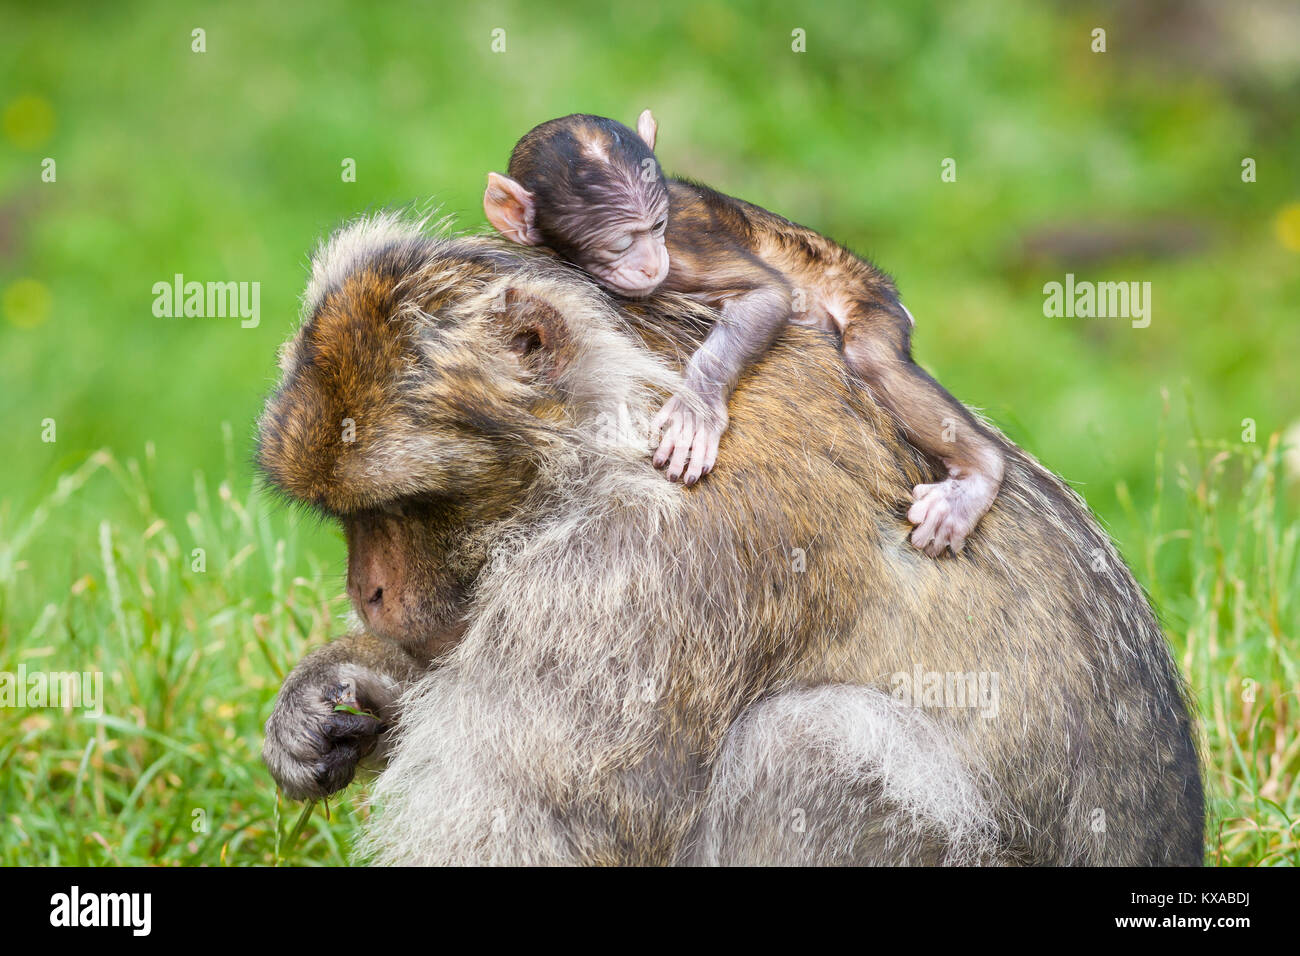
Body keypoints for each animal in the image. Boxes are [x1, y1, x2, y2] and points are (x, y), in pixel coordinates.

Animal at [258, 212, 1204, 864]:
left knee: (812, 746)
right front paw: (341, 688)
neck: (617, 435)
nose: (368, 591)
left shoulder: (627, 579)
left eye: (405, 506)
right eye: (348, 518)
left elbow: (522, 834)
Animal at [482, 111, 1005, 558]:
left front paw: (695, 412)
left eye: (657, 225)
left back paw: (980, 472)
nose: (650, 264)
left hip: (866, 296)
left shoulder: (684, 248)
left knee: (873, 358)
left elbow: (768, 294)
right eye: (619, 243)